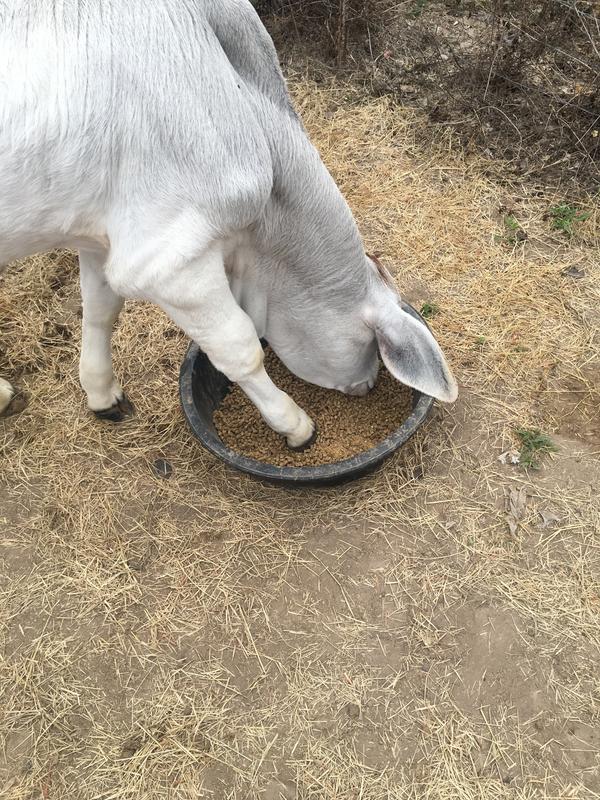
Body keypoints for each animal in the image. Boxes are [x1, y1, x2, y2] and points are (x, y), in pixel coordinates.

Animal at [0, 0, 457, 450]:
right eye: (370, 346)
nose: (366, 386)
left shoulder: (102, 238)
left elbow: (100, 310)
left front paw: (101, 393)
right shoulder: (168, 261)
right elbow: (240, 347)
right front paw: (295, 425)